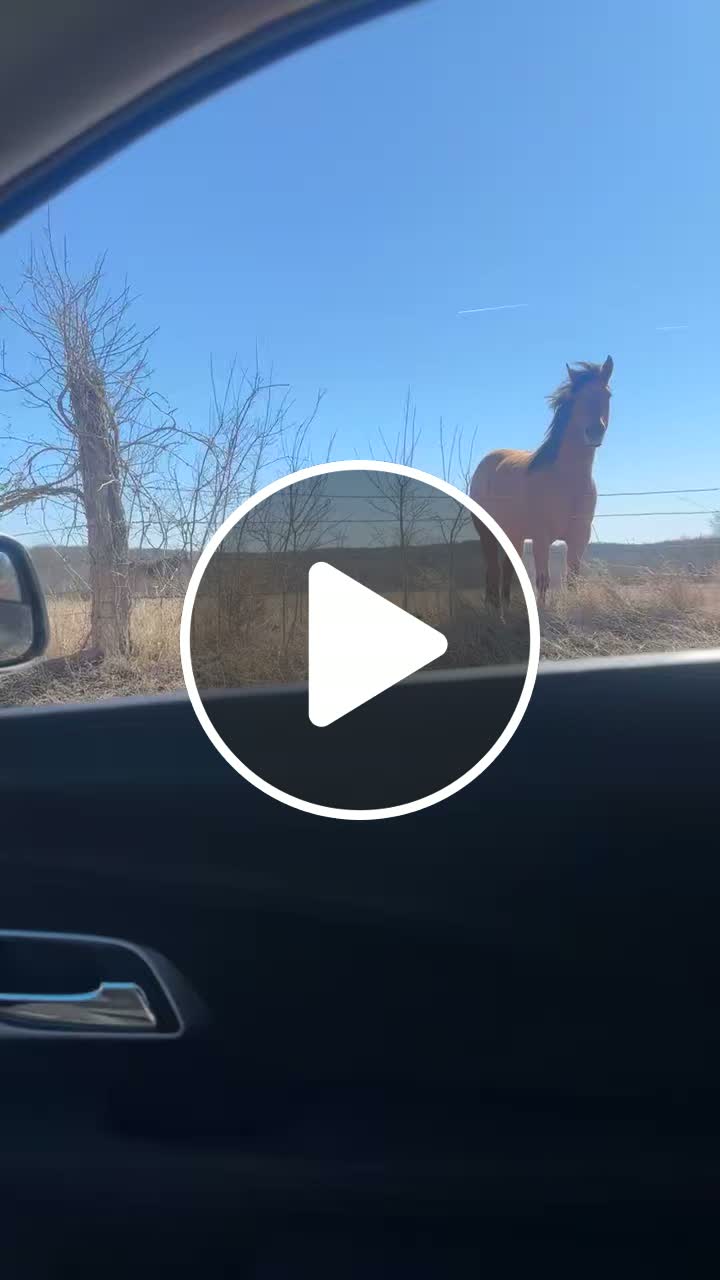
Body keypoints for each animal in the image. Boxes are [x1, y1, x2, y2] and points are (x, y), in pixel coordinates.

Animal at [469, 356, 613, 607]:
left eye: (607, 395)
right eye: (576, 398)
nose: (594, 431)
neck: (566, 481)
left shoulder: (579, 538)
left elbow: (572, 579)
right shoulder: (541, 537)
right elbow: (542, 580)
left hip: (513, 534)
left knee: (507, 570)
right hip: (487, 534)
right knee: (494, 570)